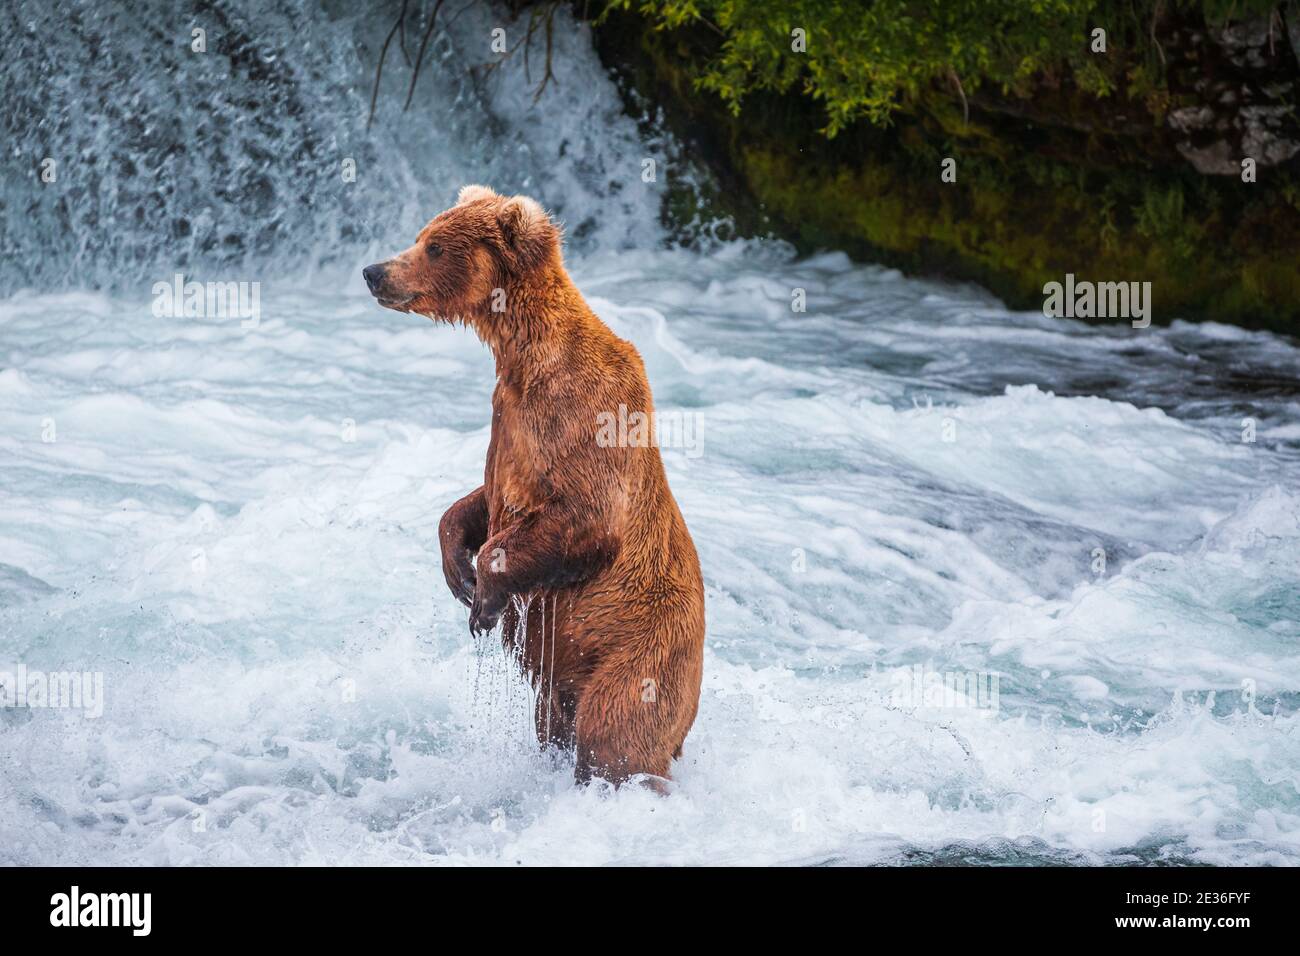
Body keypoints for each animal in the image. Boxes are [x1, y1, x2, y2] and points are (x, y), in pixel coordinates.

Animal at [362, 185, 705, 787]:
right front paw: (458, 572)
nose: (374, 271)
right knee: (555, 723)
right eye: (423, 234)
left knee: (615, 734)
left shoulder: (586, 415)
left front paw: (484, 599)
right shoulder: (508, 422)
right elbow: (480, 500)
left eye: (433, 247)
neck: (525, 358)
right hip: (560, 681)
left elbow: (584, 515)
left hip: (641, 651)